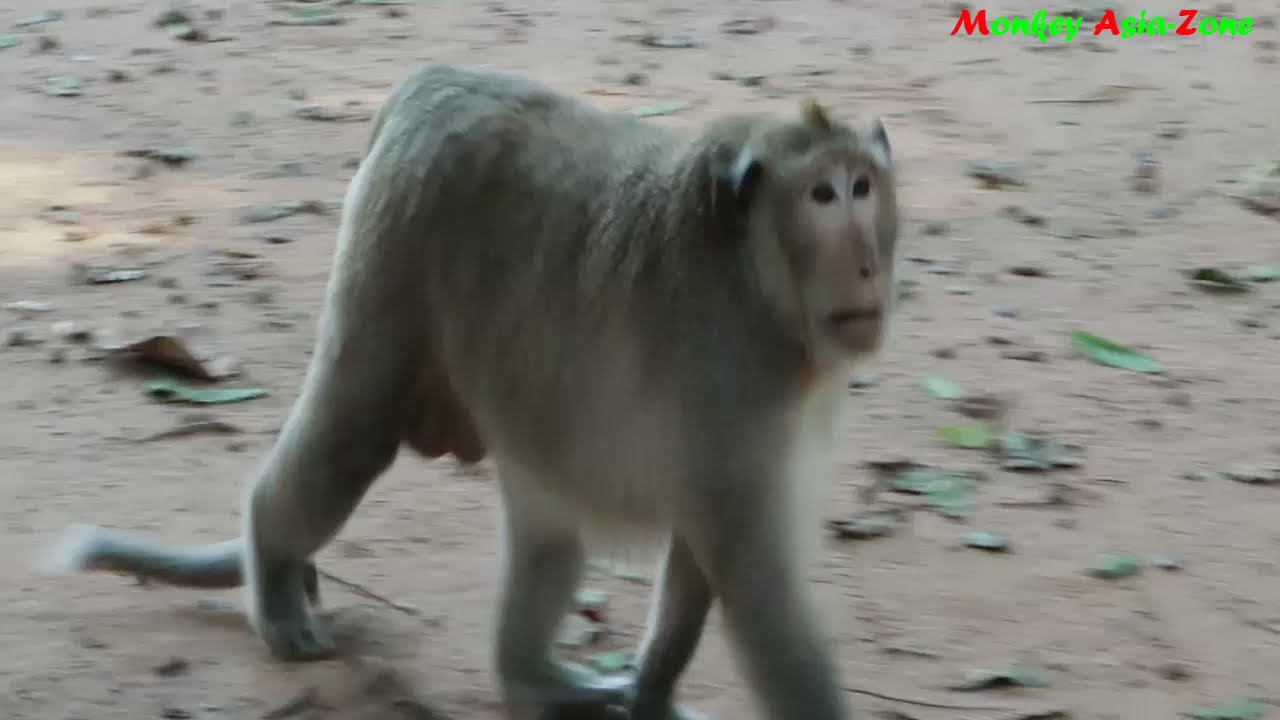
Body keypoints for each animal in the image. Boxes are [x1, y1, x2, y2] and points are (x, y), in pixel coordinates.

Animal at [43, 63, 899, 720]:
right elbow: (749, 569)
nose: (865, 265)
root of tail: (429, 83)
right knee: (348, 440)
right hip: (396, 249)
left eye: (863, 186)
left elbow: (701, 553)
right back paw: (275, 571)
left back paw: (534, 677)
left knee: (550, 536)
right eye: (824, 196)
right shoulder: (730, 369)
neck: (756, 274)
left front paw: (651, 696)